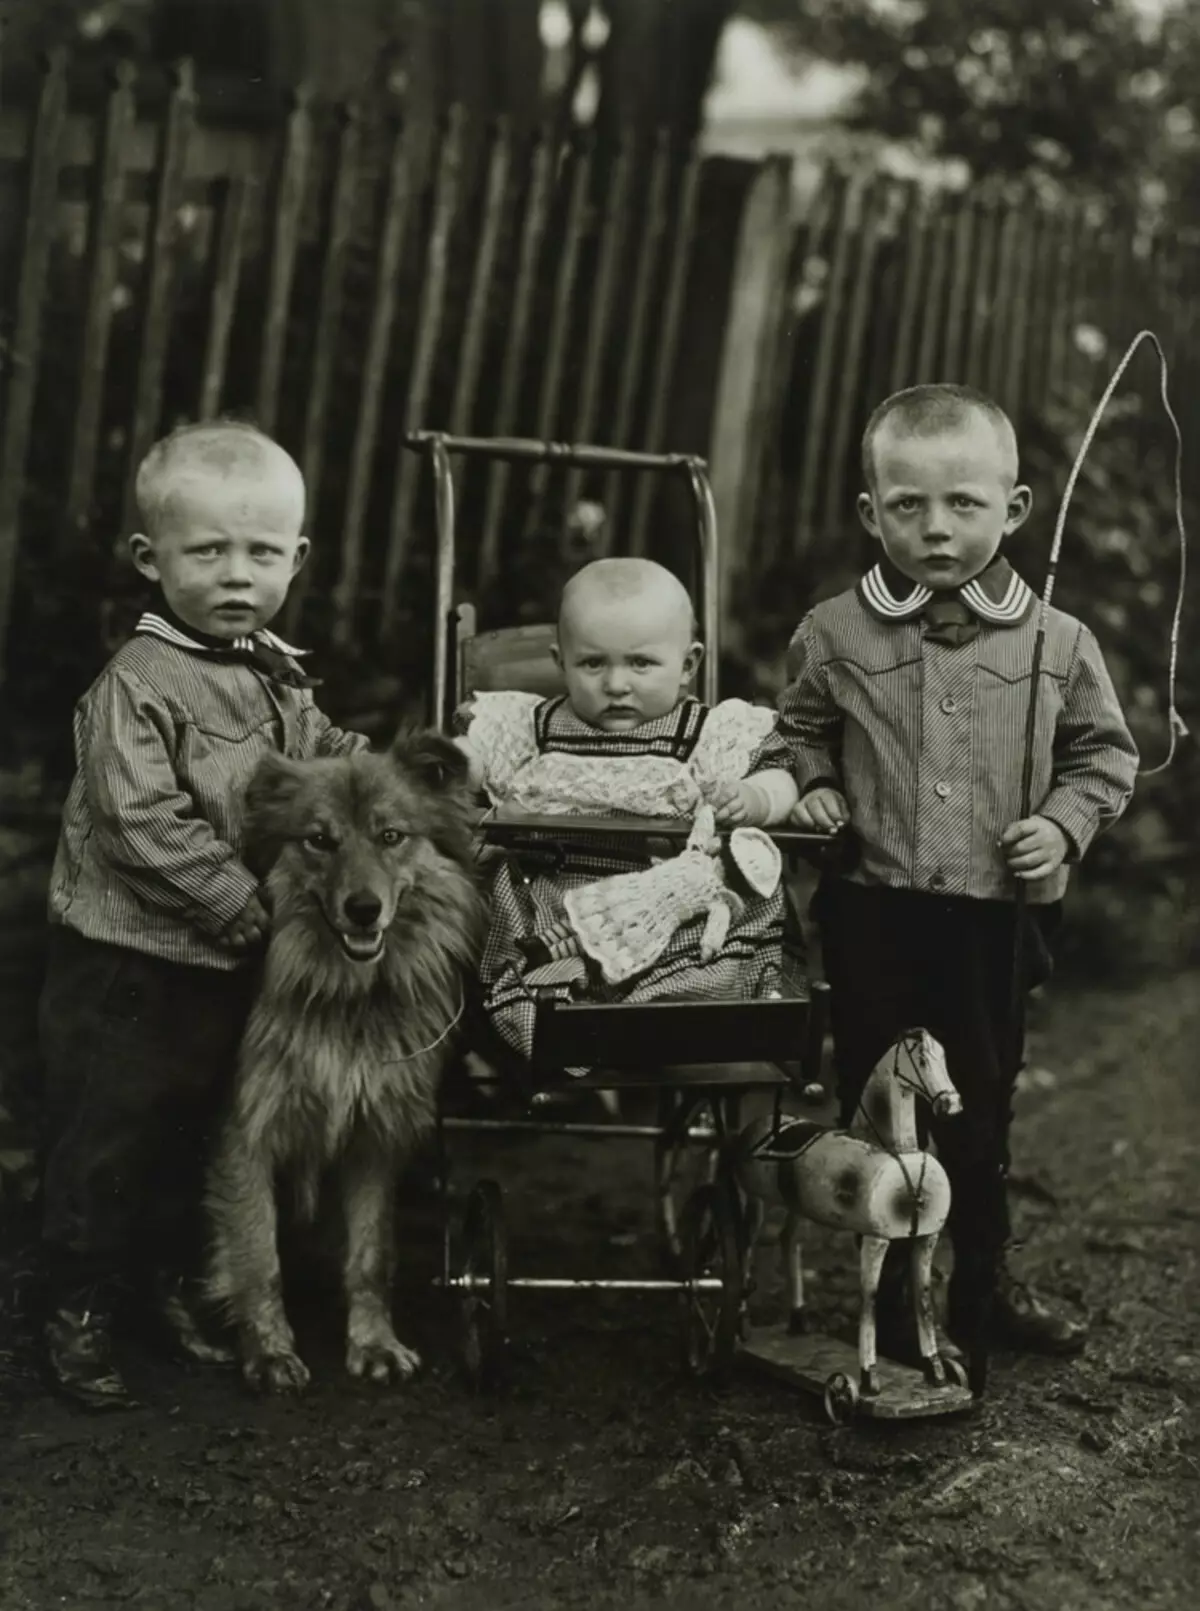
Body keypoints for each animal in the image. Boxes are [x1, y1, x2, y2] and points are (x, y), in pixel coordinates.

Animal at [206, 737, 483, 1391]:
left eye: (390, 836)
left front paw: (375, 1344)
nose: (363, 909)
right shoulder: (245, 1131)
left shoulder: (374, 1135)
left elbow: (371, 1255)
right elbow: (257, 1255)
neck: (346, 998)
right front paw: (269, 1353)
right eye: (319, 840)